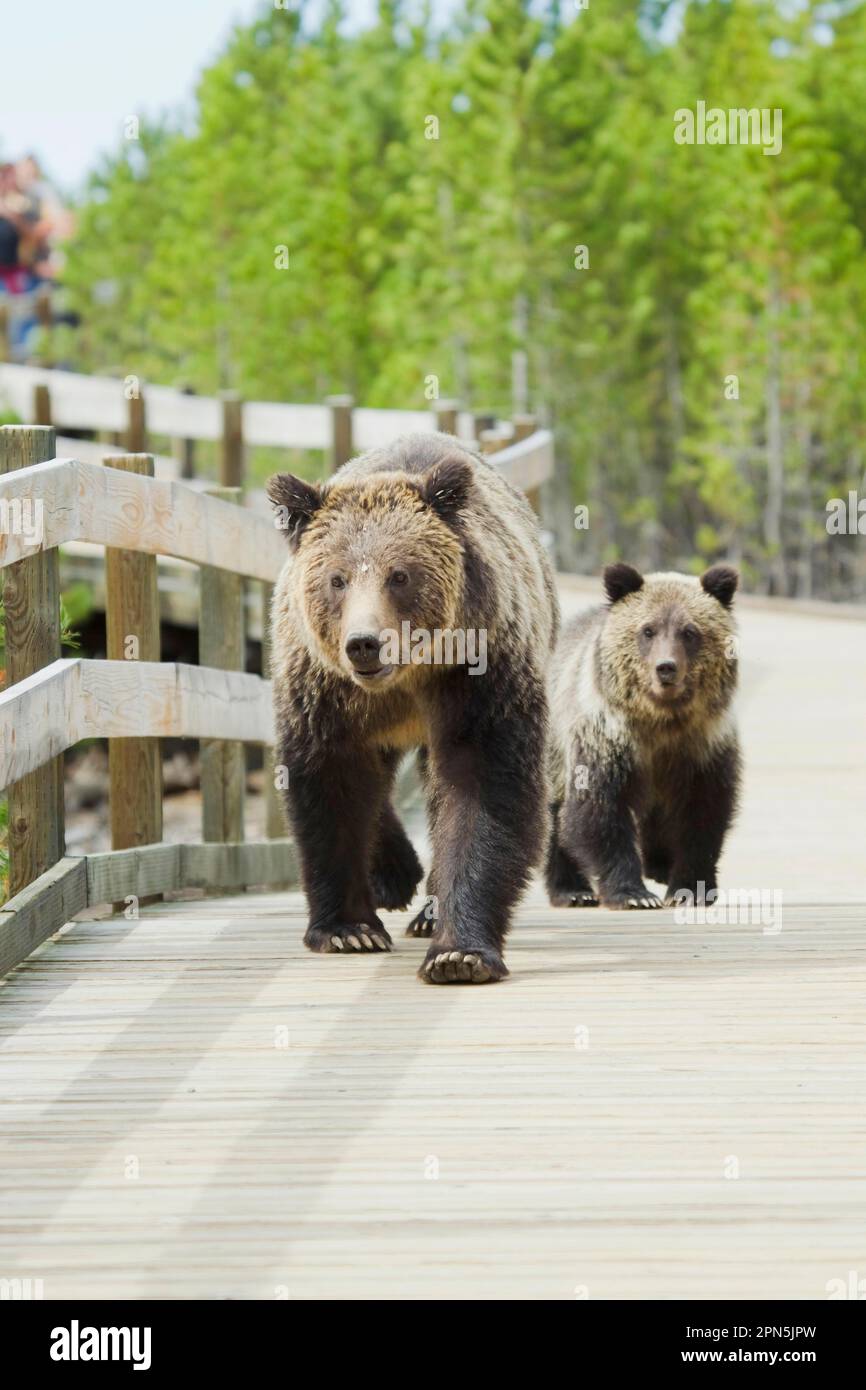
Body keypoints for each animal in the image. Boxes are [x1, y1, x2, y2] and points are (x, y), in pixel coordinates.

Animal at [266, 432, 559, 983]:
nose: (364, 644)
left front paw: (459, 952)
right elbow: (330, 781)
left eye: (399, 575)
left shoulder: (476, 674)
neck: (406, 678)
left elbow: (479, 787)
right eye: (337, 578)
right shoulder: (325, 690)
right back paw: (394, 873)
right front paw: (349, 929)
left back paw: (424, 909)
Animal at [546, 562, 741, 910]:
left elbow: (703, 810)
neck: (660, 719)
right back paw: (572, 889)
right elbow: (601, 807)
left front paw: (689, 889)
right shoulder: (607, 737)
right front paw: (633, 894)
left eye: (689, 632)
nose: (666, 668)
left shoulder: (702, 744)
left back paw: (660, 865)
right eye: (648, 630)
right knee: (556, 814)